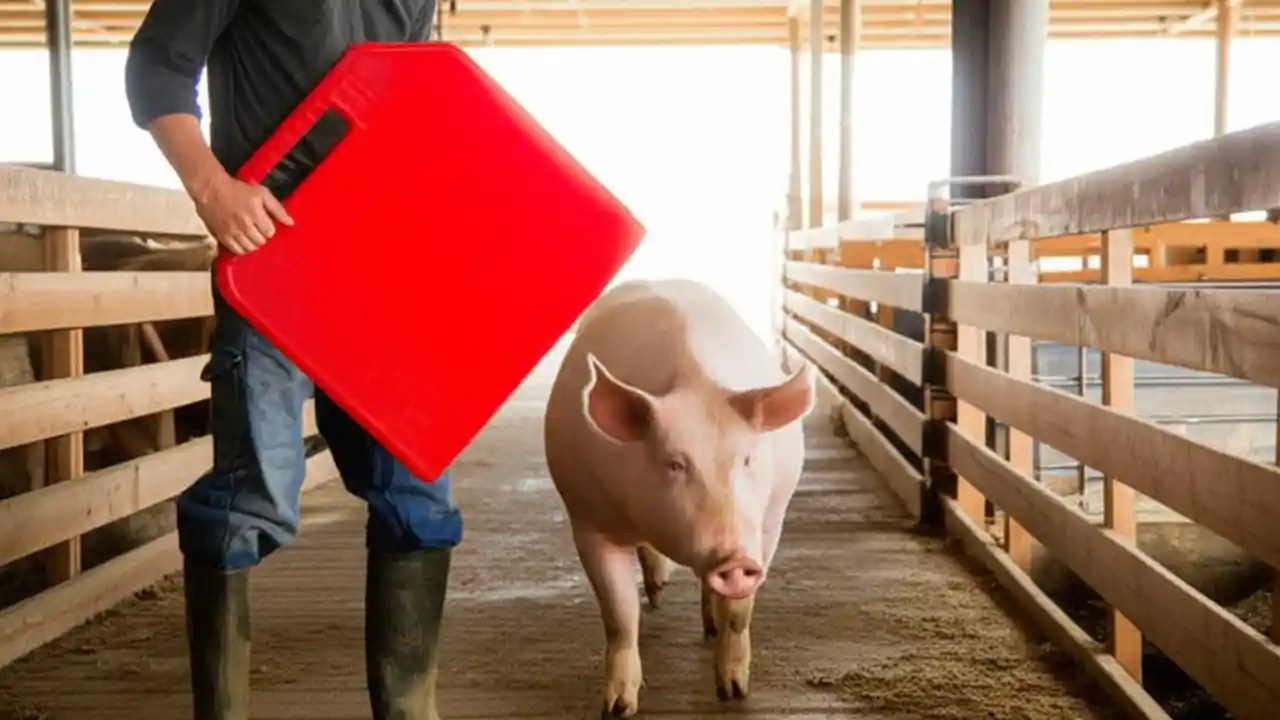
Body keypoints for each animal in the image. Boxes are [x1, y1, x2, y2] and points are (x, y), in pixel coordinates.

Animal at [543, 278, 816, 717]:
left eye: (747, 459)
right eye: (674, 464)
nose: (734, 559)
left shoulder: (770, 521)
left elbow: (739, 611)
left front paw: (733, 691)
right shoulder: (586, 518)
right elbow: (619, 613)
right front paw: (617, 708)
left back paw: (708, 627)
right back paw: (657, 590)